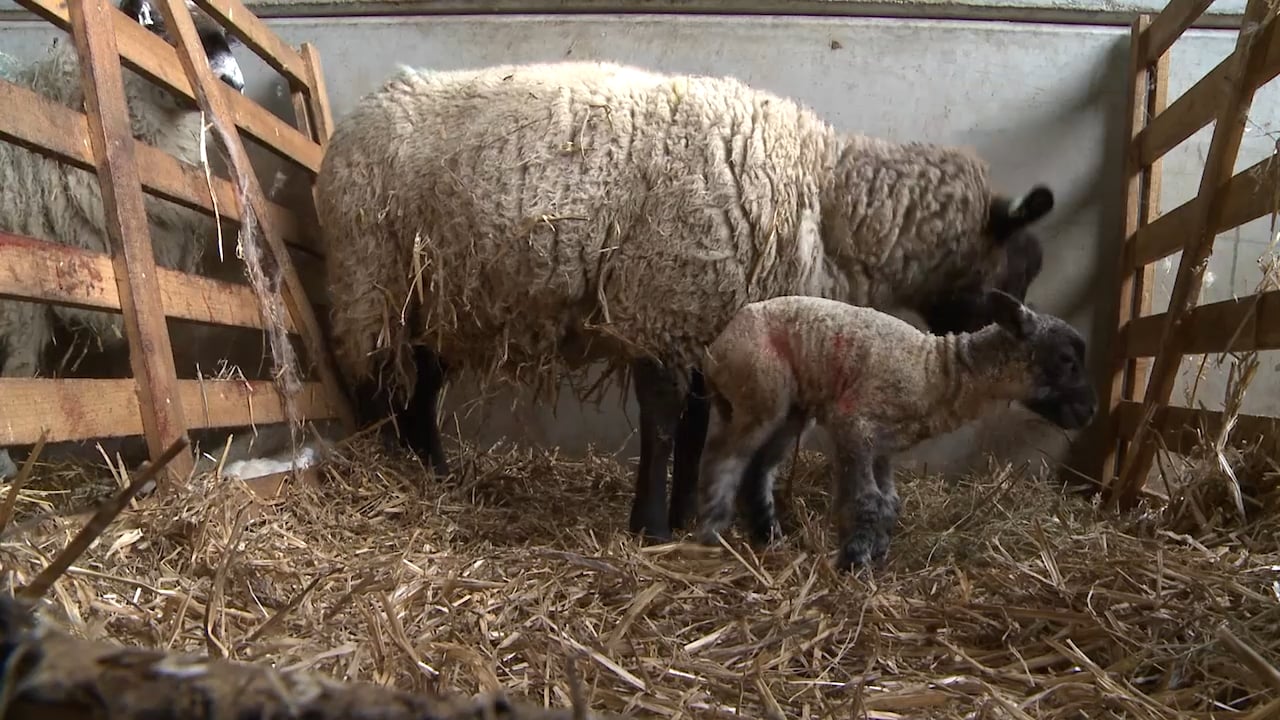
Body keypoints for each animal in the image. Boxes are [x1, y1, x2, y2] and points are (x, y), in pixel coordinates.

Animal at [313, 60, 1057, 542]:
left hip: (436, 301)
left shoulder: (708, 322)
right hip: (370, 278)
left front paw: (686, 511)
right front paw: (650, 526)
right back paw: (395, 472)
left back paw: (432, 472)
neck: (826, 201)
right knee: (381, 382)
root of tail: (353, 118)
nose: (1017, 342)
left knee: (420, 385)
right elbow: (664, 423)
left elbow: (698, 425)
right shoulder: (663, 305)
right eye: (1021, 268)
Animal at [692, 289, 1097, 570]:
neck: (939, 374)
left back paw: (768, 533)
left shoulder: (883, 446)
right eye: (1067, 360)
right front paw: (854, 562)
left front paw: (875, 554)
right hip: (760, 393)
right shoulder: (853, 425)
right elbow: (867, 500)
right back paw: (711, 531)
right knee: (724, 459)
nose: (1089, 412)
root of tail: (717, 349)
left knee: (759, 466)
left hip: (791, 409)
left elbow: (889, 502)